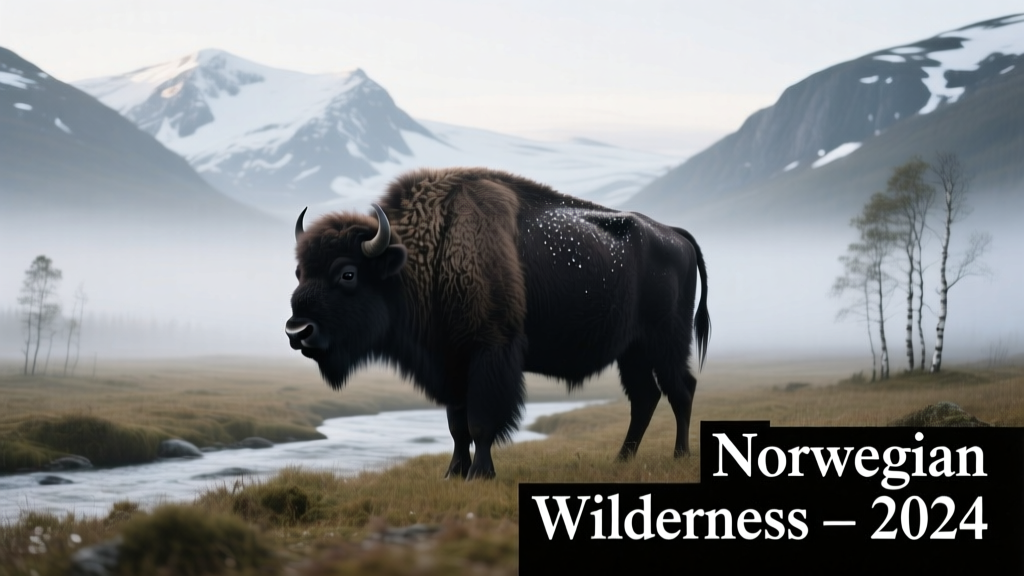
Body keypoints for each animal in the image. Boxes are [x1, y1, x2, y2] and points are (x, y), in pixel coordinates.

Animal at [287, 168, 709, 479]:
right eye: (299, 272)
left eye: (347, 274)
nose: (297, 331)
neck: (429, 255)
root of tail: (675, 236)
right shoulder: (452, 362)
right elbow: (457, 426)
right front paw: (453, 473)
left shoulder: (489, 353)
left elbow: (480, 422)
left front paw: (480, 473)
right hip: (632, 351)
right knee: (645, 397)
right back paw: (621, 459)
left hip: (665, 343)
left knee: (681, 389)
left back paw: (679, 455)